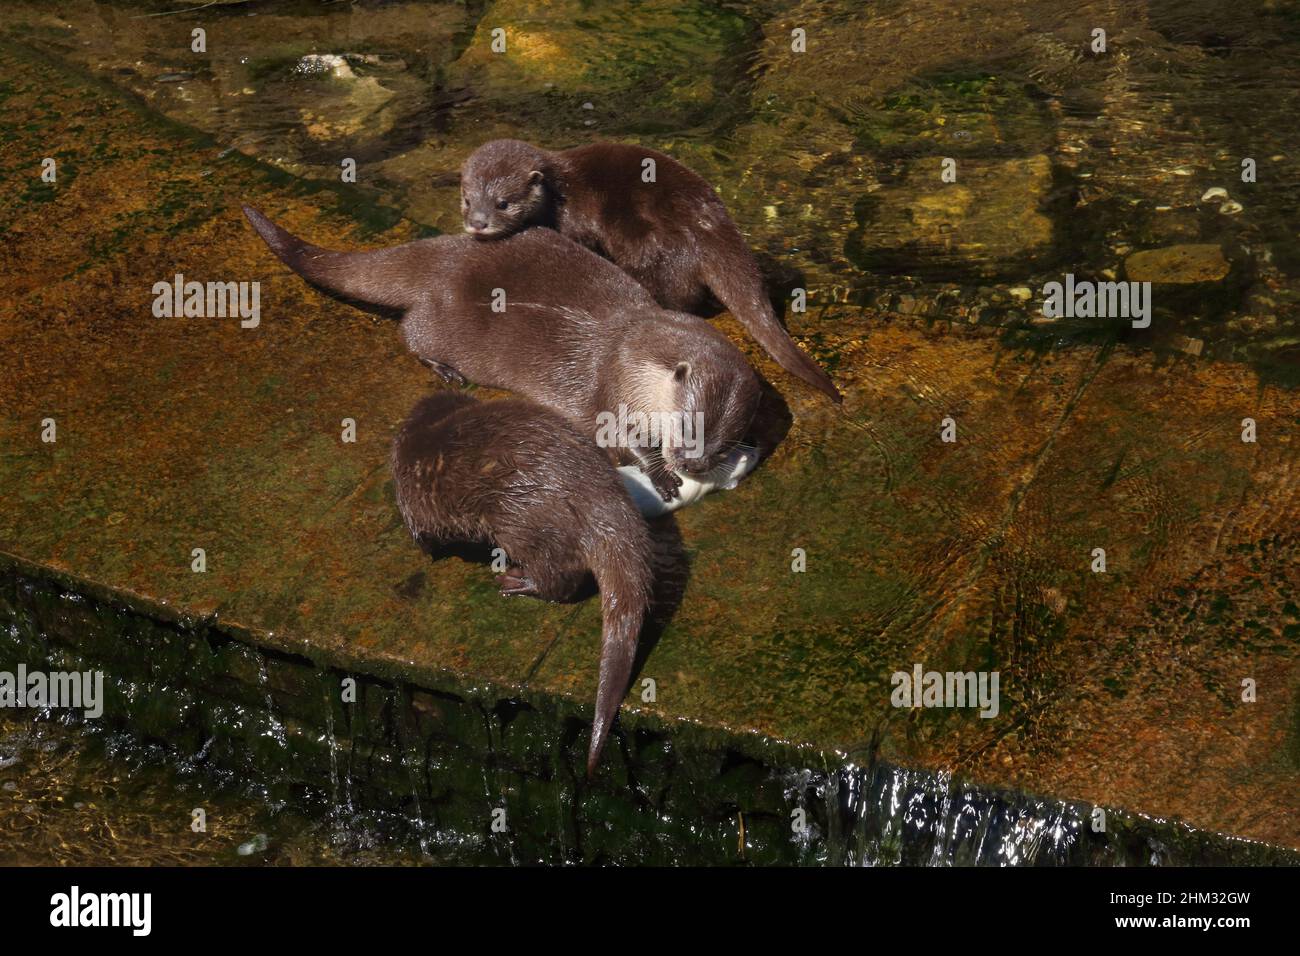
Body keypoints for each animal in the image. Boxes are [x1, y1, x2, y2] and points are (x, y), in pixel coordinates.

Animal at [242, 206, 761, 502]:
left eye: (724, 443)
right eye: (687, 427)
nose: (693, 466)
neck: (634, 352)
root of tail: (443, 255)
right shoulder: (616, 388)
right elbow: (616, 435)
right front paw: (660, 474)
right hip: (446, 322)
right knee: (411, 333)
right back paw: (444, 369)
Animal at [458, 139, 840, 403]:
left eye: (503, 203)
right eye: (466, 199)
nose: (478, 223)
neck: (559, 194)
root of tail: (709, 225)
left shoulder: (574, 223)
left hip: (652, 249)